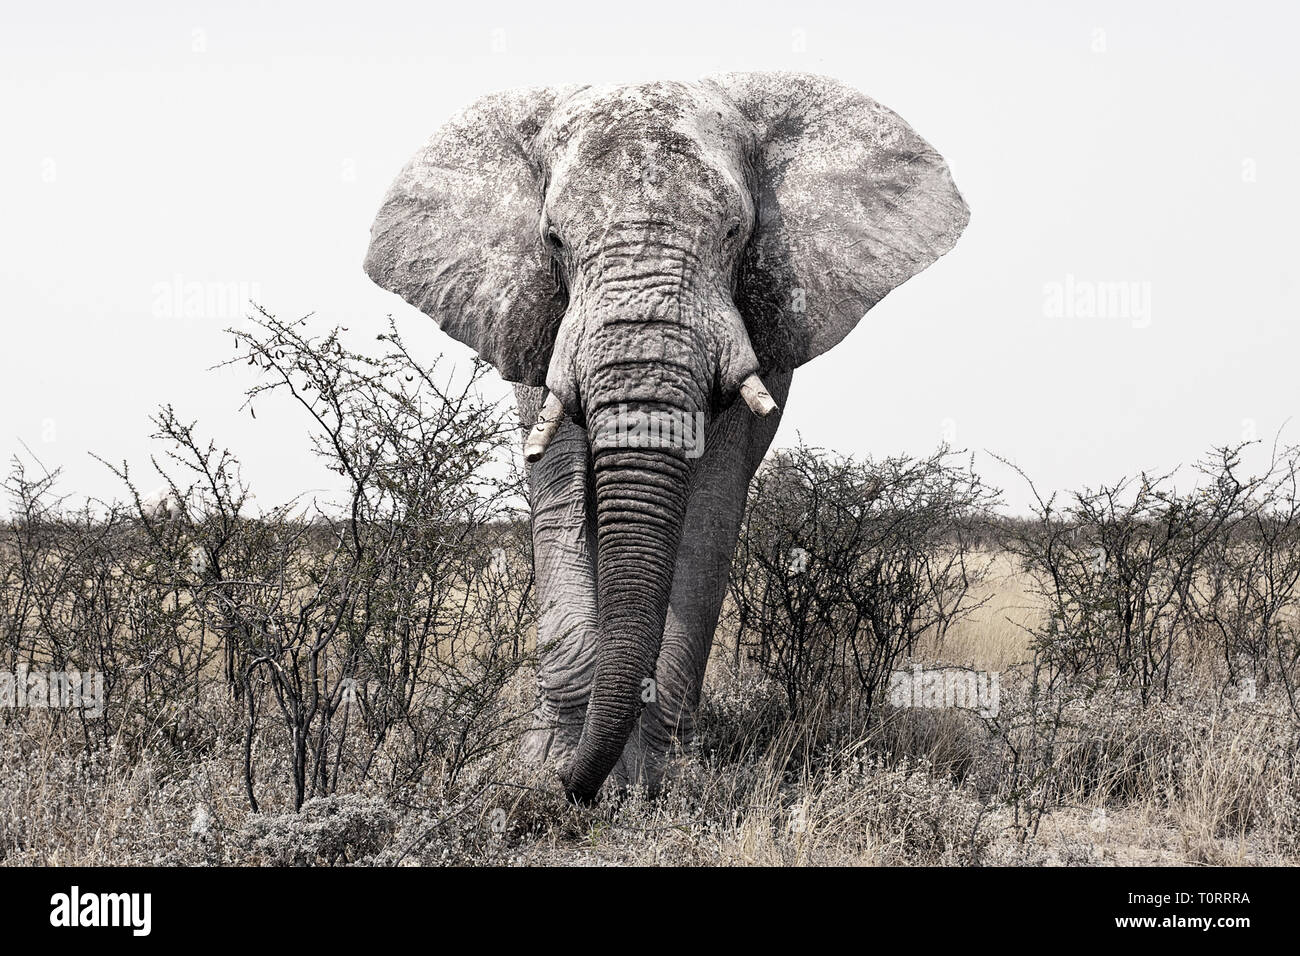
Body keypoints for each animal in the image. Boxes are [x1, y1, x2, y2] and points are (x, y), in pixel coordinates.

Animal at [364, 72, 969, 803]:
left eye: (737, 232)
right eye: (554, 239)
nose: (571, 792)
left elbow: (709, 511)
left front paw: (653, 780)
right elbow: (562, 494)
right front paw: (544, 766)